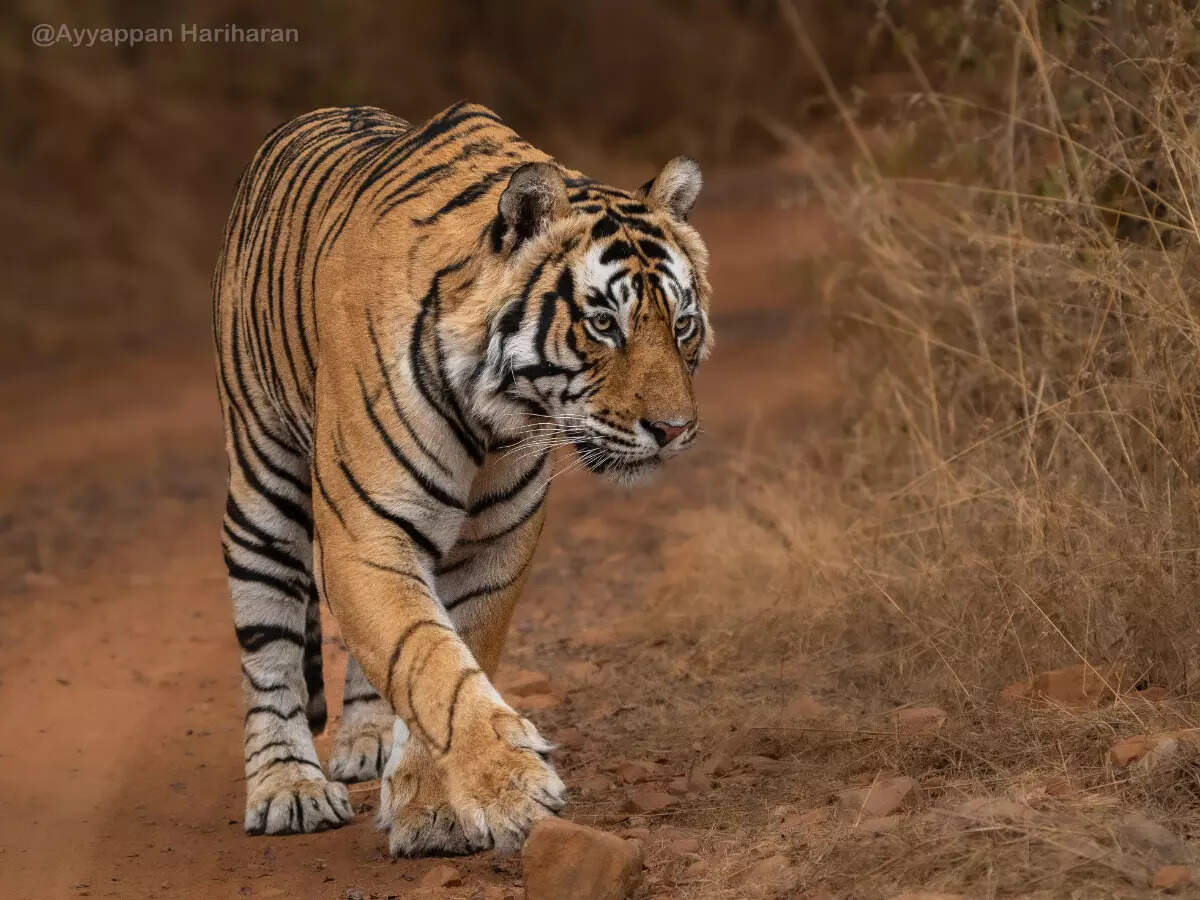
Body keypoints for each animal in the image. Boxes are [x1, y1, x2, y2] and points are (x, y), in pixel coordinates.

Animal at [213, 101, 712, 856]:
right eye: (603, 324)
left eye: (682, 325)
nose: (674, 429)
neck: (497, 416)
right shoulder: (366, 532)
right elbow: (428, 661)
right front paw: (513, 789)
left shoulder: (495, 543)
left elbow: (451, 651)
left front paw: (432, 810)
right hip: (262, 482)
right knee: (269, 650)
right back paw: (287, 788)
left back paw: (365, 743)